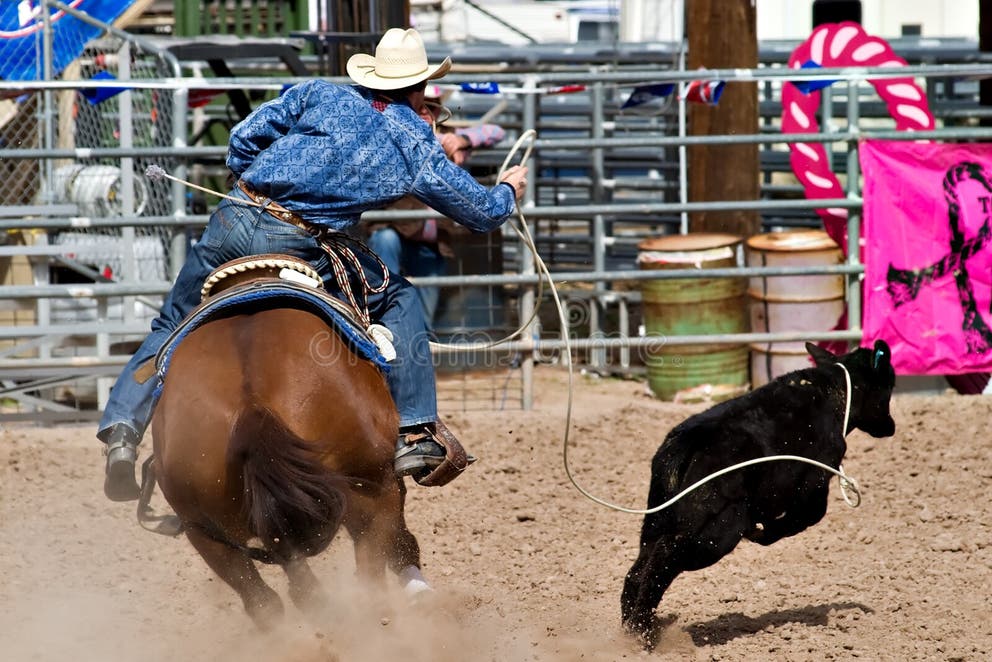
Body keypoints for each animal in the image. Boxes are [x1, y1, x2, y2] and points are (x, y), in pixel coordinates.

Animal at [620, 339, 896, 643]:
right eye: (889, 387)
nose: (891, 427)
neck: (835, 393)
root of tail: (687, 441)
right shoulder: (814, 483)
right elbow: (808, 517)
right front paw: (764, 532)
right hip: (714, 533)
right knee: (664, 557)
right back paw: (644, 632)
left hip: (657, 520)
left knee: (638, 569)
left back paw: (632, 628)